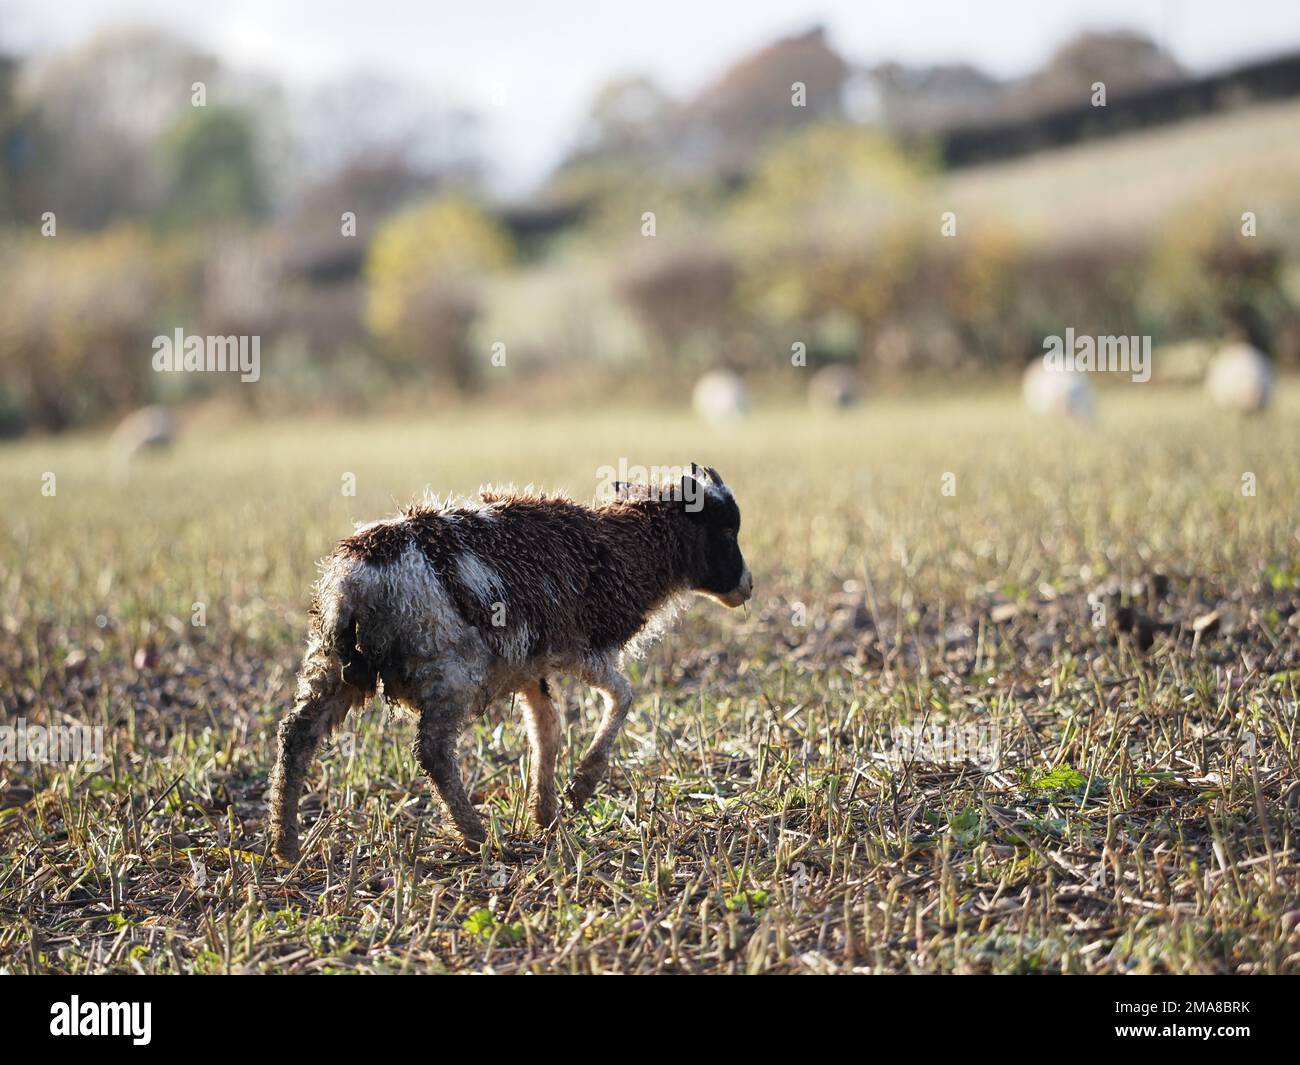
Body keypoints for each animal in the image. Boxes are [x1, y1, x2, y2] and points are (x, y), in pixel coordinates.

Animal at [269, 463, 752, 860]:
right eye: (727, 531)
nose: (747, 588)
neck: (627, 549)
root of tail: (358, 581)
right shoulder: (579, 647)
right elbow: (622, 696)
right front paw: (582, 785)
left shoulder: (528, 666)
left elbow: (547, 731)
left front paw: (546, 814)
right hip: (447, 668)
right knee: (433, 752)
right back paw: (475, 836)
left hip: (330, 664)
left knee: (296, 735)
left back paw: (285, 844)